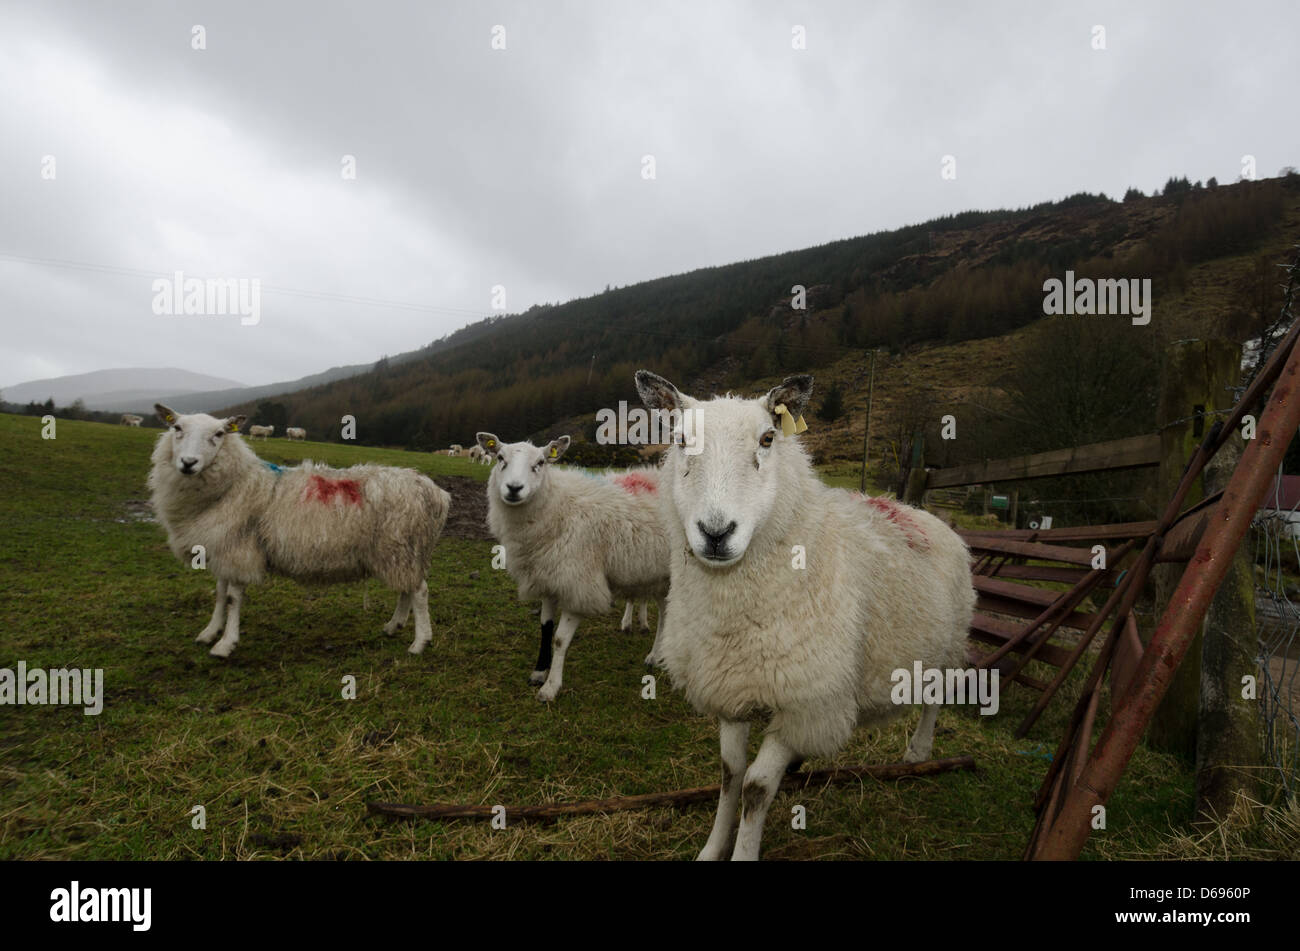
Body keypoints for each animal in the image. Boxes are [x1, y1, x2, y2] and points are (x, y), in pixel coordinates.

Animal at [147, 403, 451, 658]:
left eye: (219, 433)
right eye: (176, 428)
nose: (188, 463)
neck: (236, 482)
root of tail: (434, 491)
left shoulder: (239, 551)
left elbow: (233, 598)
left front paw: (225, 644)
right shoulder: (222, 547)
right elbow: (221, 595)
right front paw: (210, 632)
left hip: (402, 546)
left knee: (419, 592)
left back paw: (420, 642)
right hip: (401, 552)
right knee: (406, 589)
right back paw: (393, 626)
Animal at [476, 431, 670, 701]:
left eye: (540, 463)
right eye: (500, 458)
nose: (514, 488)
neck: (557, 506)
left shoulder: (578, 583)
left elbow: (559, 639)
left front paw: (550, 687)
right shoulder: (547, 577)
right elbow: (545, 628)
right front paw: (539, 673)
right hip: (659, 575)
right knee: (664, 610)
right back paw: (656, 654)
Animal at [634, 371, 976, 861]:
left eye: (768, 438)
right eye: (680, 440)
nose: (716, 533)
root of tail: (921, 512)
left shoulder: (805, 700)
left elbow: (756, 787)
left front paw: (743, 851)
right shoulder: (730, 686)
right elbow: (729, 775)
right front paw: (712, 848)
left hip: (949, 641)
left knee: (936, 695)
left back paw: (918, 749)